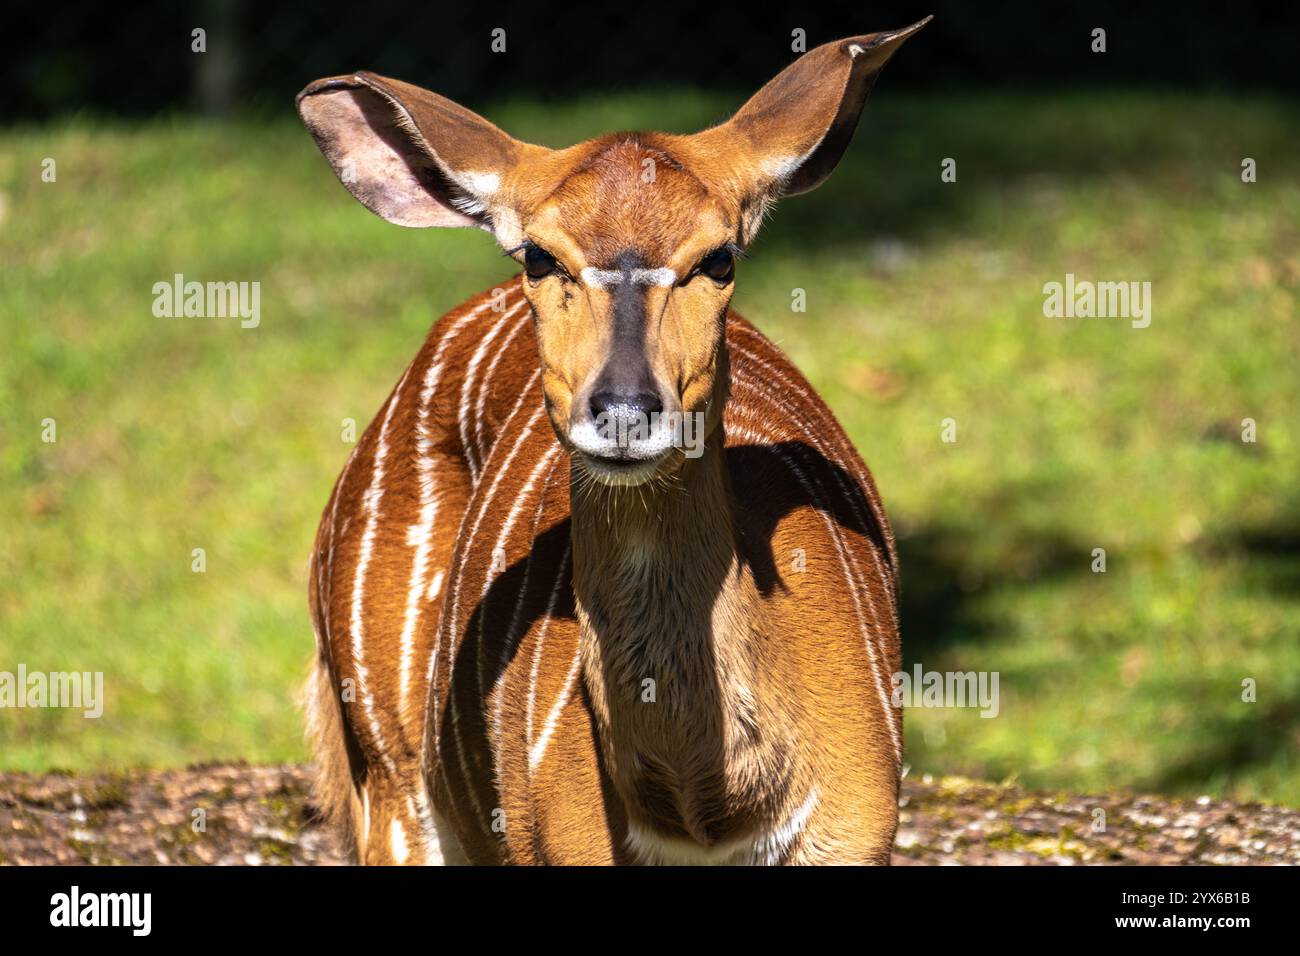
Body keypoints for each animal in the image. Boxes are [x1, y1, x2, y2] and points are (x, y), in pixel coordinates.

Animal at [298, 18, 927, 865]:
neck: (706, 812)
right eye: (539, 255)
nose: (625, 411)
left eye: (719, 258)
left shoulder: (857, 831)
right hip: (392, 782)